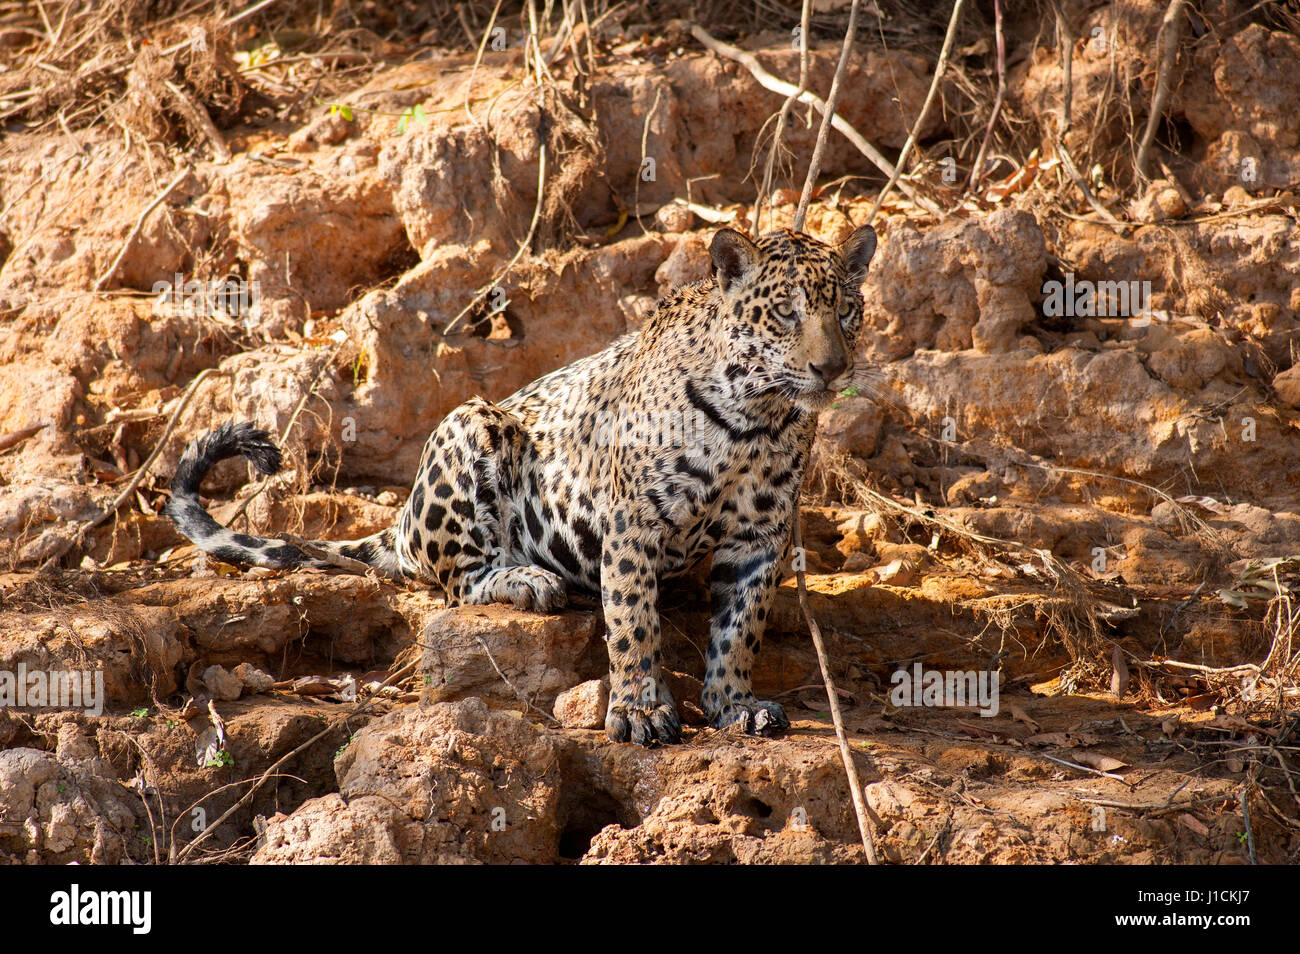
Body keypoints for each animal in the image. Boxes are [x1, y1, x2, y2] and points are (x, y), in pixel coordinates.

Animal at [166, 224, 878, 746]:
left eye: (847, 311)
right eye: (785, 313)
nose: (832, 367)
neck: (754, 420)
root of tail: (400, 521)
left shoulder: (759, 541)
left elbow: (740, 629)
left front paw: (734, 704)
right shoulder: (633, 525)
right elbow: (633, 624)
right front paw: (640, 710)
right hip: (469, 427)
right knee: (460, 582)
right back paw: (531, 581)